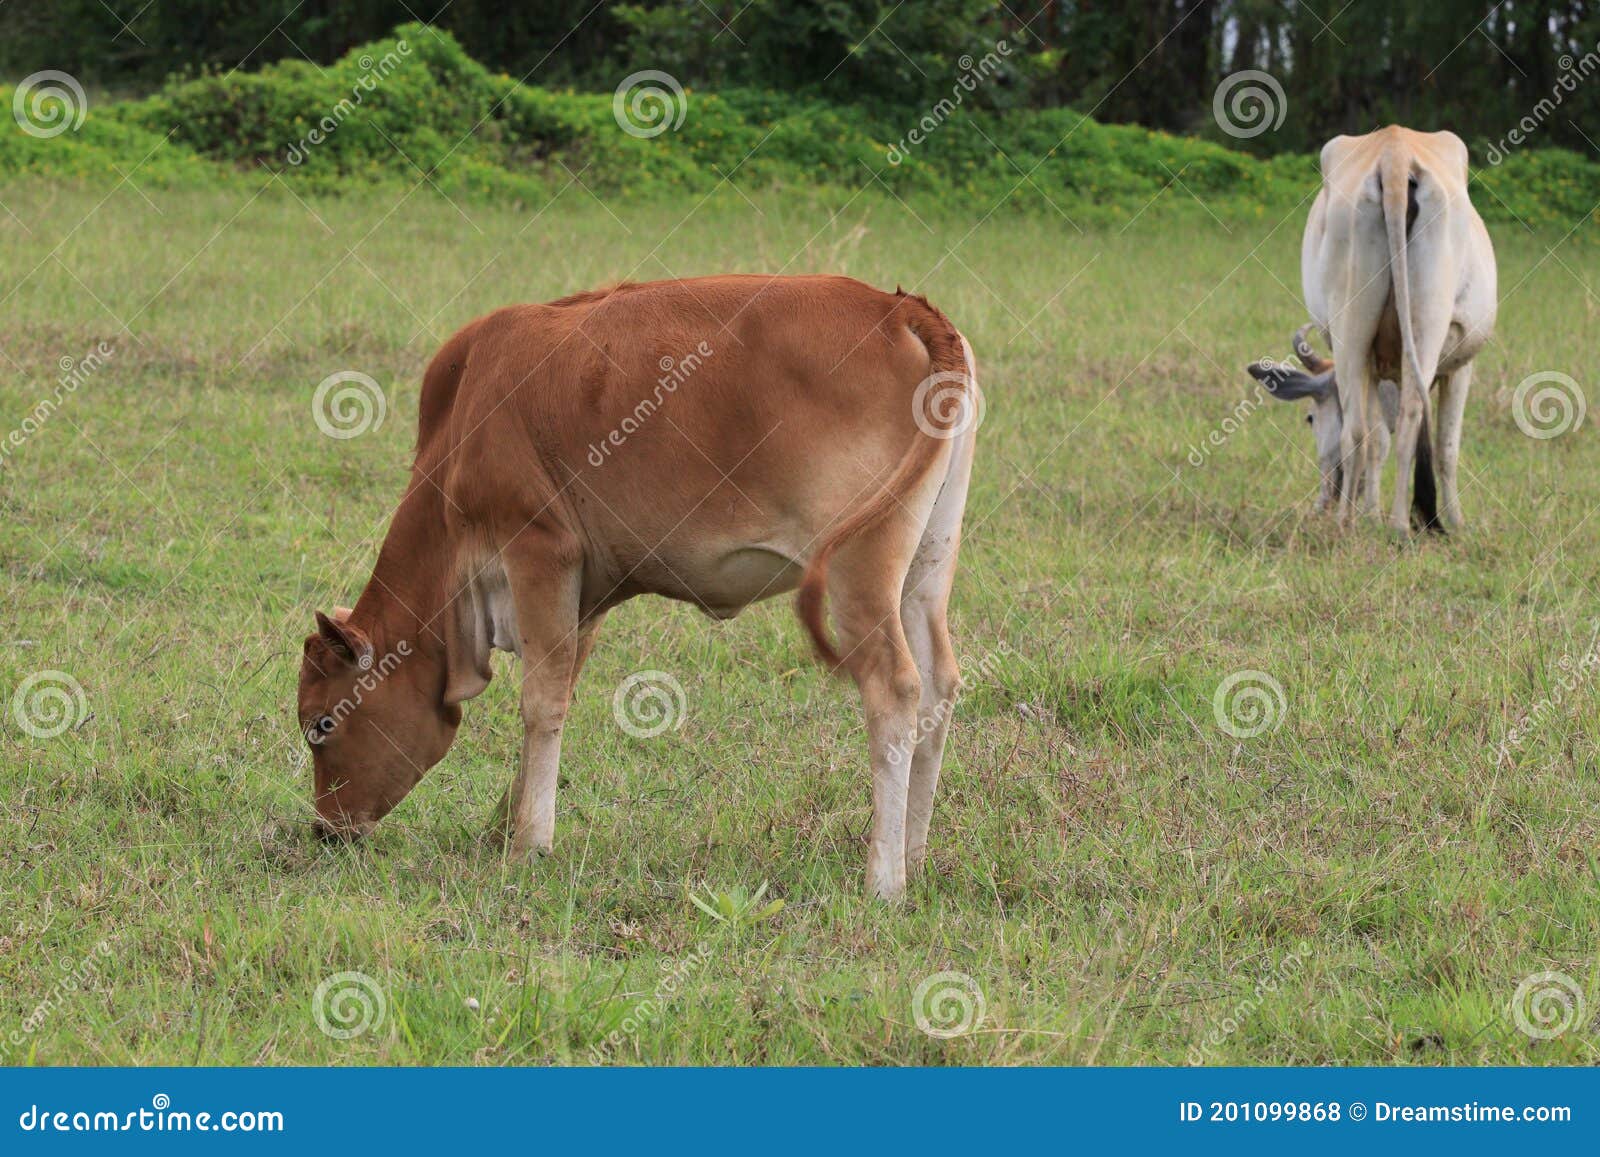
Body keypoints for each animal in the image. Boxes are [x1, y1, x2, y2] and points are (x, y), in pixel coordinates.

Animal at [297, 275, 979, 900]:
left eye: (321, 724)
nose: (326, 830)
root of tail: (897, 306)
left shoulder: (539, 550)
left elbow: (540, 702)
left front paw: (527, 846)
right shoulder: (584, 590)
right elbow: (558, 692)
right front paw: (504, 825)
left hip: (857, 567)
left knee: (895, 688)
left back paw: (884, 880)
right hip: (926, 567)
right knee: (938, 683)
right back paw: (915, 857)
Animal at [1292, 126, 1497, 531]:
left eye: (1310, 418)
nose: (1324, 499)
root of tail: (1394, 152)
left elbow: (1379, 440)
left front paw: (1376, 513)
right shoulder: (1460, 366)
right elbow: (1445, 446)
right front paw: (1453, 522)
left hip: (1353, 333)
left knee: (1362, 429)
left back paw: (1358, 522)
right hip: (1421, 328)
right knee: (1405, 418)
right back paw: (1392, 522)